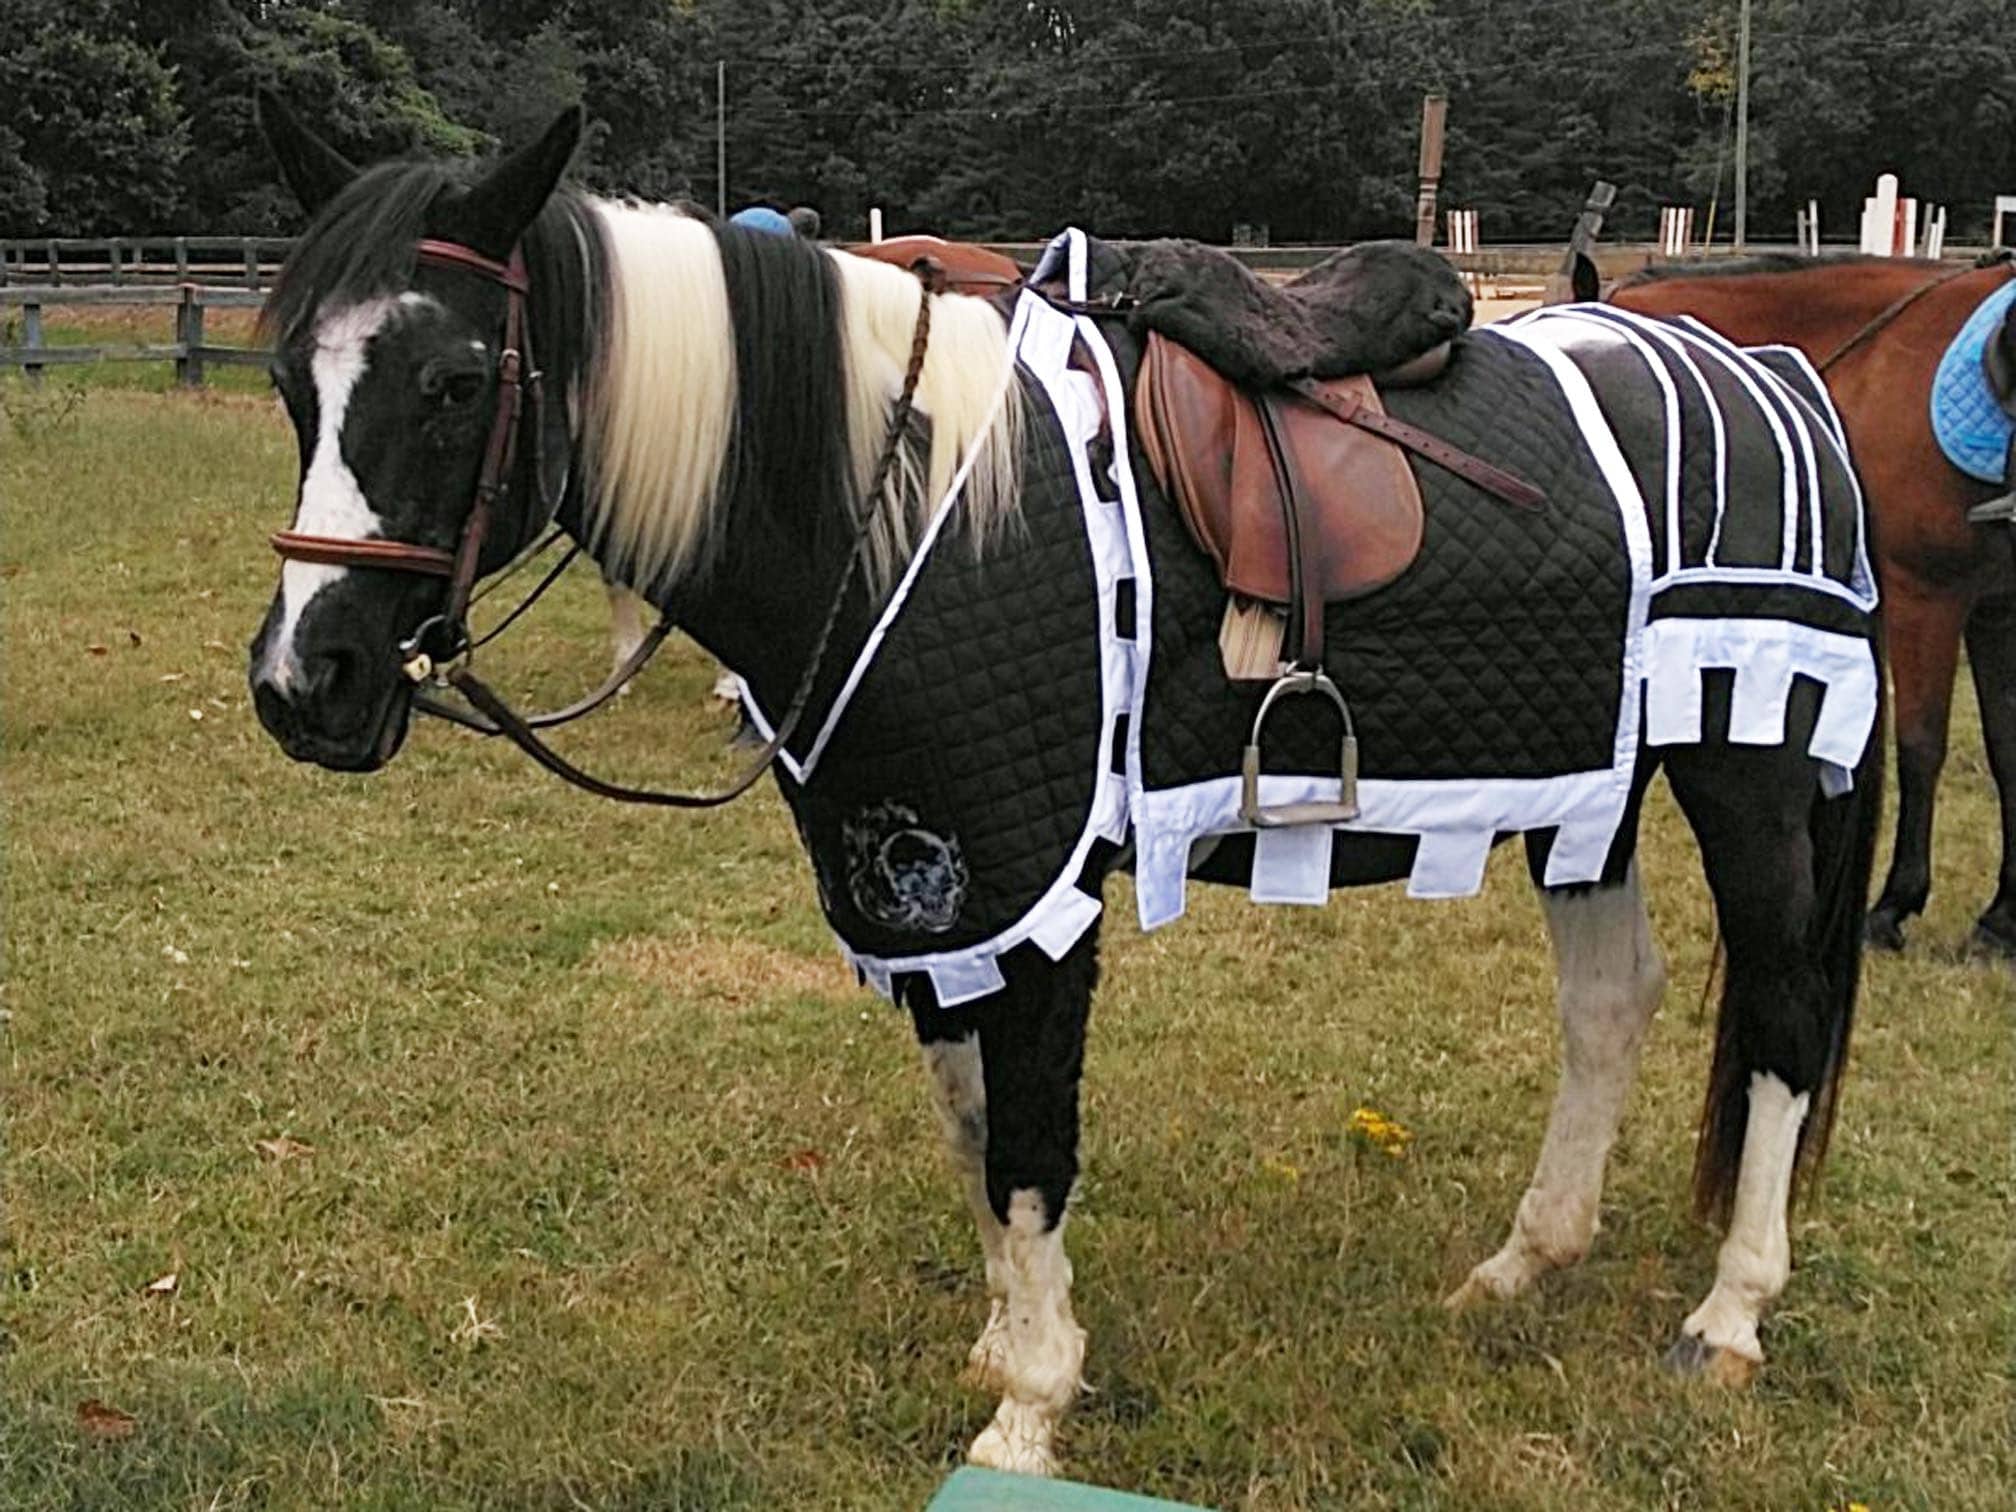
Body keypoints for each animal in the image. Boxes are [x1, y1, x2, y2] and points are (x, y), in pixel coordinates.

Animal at [244, 98, 1882, 1476]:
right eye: (288, 379)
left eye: (458, 381)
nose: (303, 682)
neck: (900, 510)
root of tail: (1774, 375)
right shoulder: (927, 883)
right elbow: (974, 1127)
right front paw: (1007, 1345)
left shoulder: (1026, 888)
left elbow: (1028, 1144)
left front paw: (1031, 1410)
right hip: (1589, 790)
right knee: (1613, 1000)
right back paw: (1523, 1263)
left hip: (1746, 775)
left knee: (1787, 1011)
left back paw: (1731, 1313)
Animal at [1595, 252, 2016, 956]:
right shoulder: (1993, 611)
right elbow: (2005, 748)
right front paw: (2001, 916)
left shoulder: (1926, 597)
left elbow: (1920, 746)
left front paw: (1893, 906)